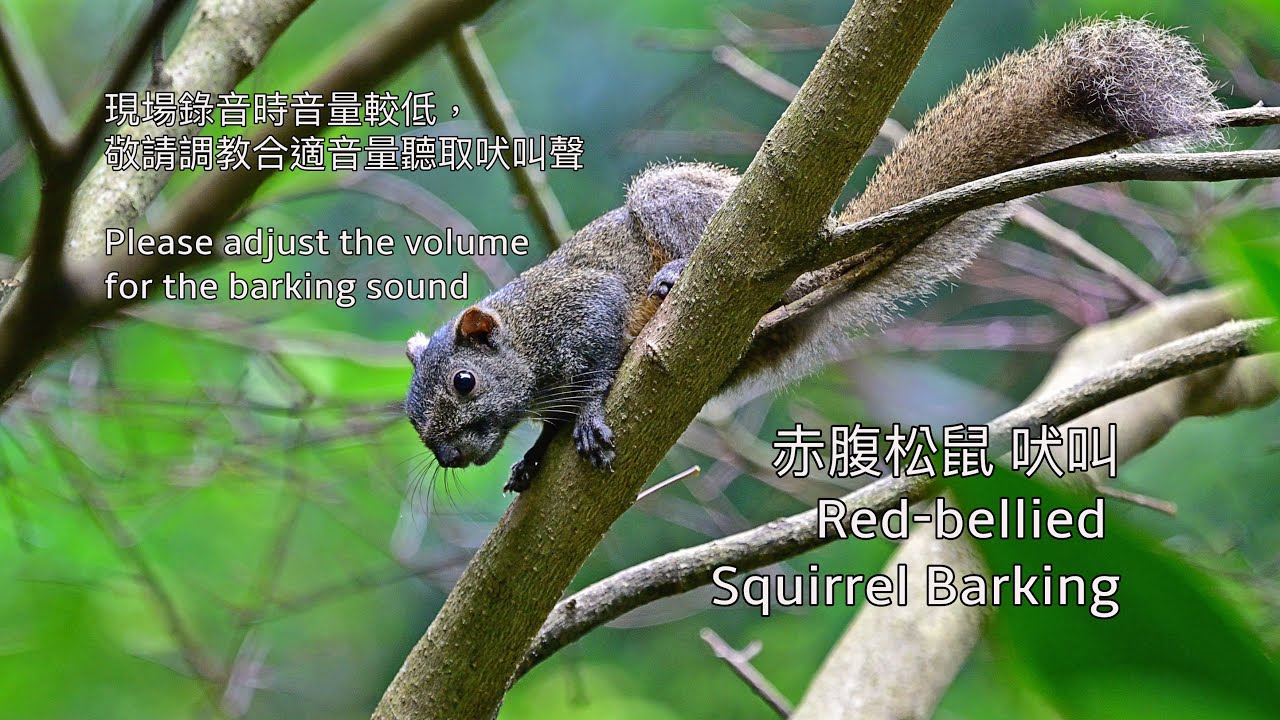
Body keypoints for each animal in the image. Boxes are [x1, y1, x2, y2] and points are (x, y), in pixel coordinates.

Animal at [404, 19, 1221, 493]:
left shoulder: (582, 309)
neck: (527, 338)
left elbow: (598, 365)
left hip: (674, 201)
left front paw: (590, 418)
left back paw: (679, 274)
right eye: (415, 420)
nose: (447, 456)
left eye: (465, 383)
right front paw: (533, 455)